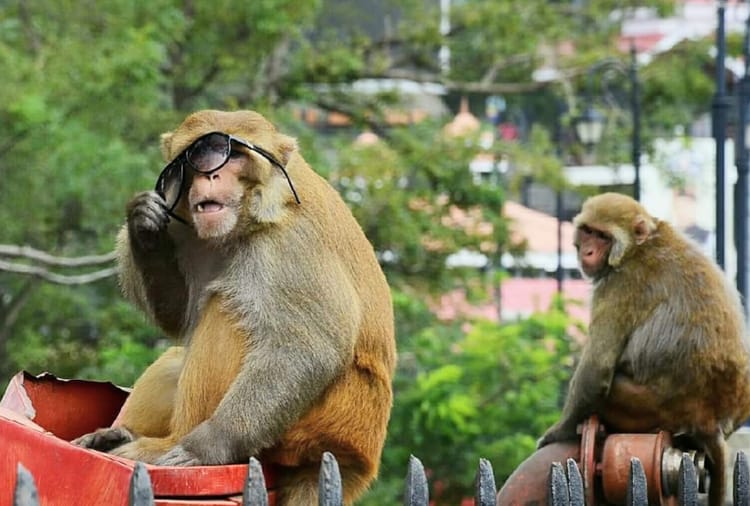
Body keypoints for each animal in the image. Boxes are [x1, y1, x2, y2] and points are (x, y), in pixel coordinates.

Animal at [73, 110, 397, 505]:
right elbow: (179, 316)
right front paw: (144, 230)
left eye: (234, 156)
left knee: (225, 311)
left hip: (323, 425)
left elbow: (307, 348)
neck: (249, 218)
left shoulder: (289, 246)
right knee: (176, 358)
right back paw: (116, 435)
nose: (210, 174)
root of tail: (358, 460)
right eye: (193, 159)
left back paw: (167, 443)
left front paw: (206, 446)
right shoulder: (183, 228)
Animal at [537, 192, 750, 506]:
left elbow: (595, 371)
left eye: (603, 237)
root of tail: (708, 417)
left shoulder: (617, 283)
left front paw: (558, 432)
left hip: (649, 407)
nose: (588, 252)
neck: (638, 245)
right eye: (588, 232)